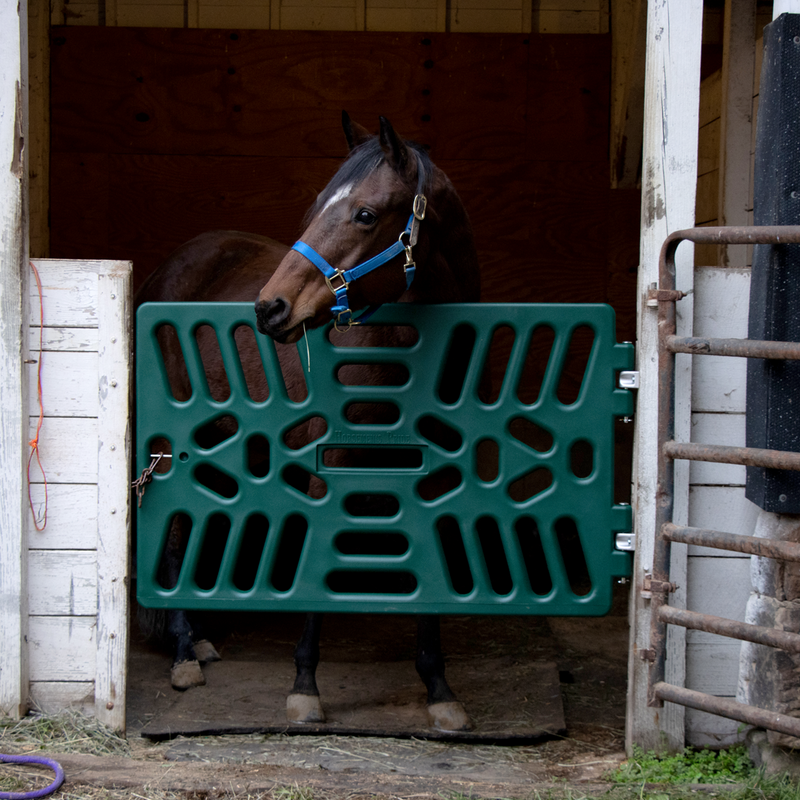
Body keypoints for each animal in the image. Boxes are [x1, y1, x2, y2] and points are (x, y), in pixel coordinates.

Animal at [135, 113, 481, 732]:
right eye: (317, 205)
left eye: (364, 214)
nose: (270, 308)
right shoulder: (331, 467)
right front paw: (304, 687)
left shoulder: (430, 477)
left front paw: (440, 688)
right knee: (173, 534)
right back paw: (182, 654)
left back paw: (199, 638)